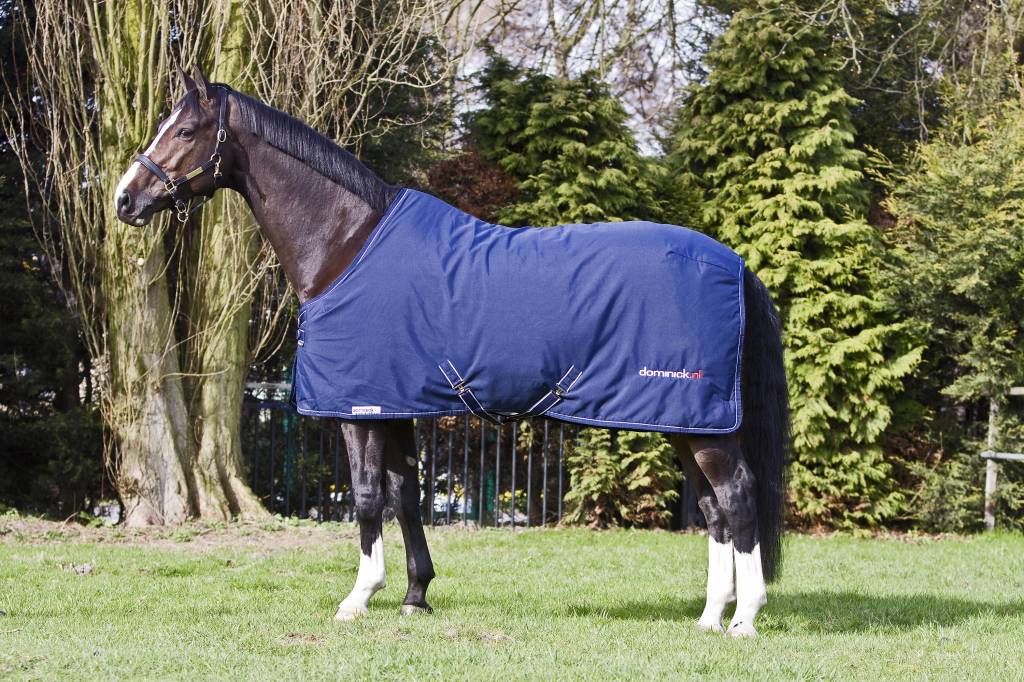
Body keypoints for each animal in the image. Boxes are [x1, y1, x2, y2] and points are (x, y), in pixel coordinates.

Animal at [114, 67, 789, 638]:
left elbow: (366, 496)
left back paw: (744, 618)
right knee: (714, 508)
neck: (346, 246)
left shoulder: (359, 409)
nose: (125, 198)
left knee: (737, 497)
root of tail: (735, 264)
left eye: (185, 130)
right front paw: (416, 595)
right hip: (686, 422)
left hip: (699, 421)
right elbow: (404, 494)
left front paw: (359, 597)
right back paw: (710, 615)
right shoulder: (394, 405)